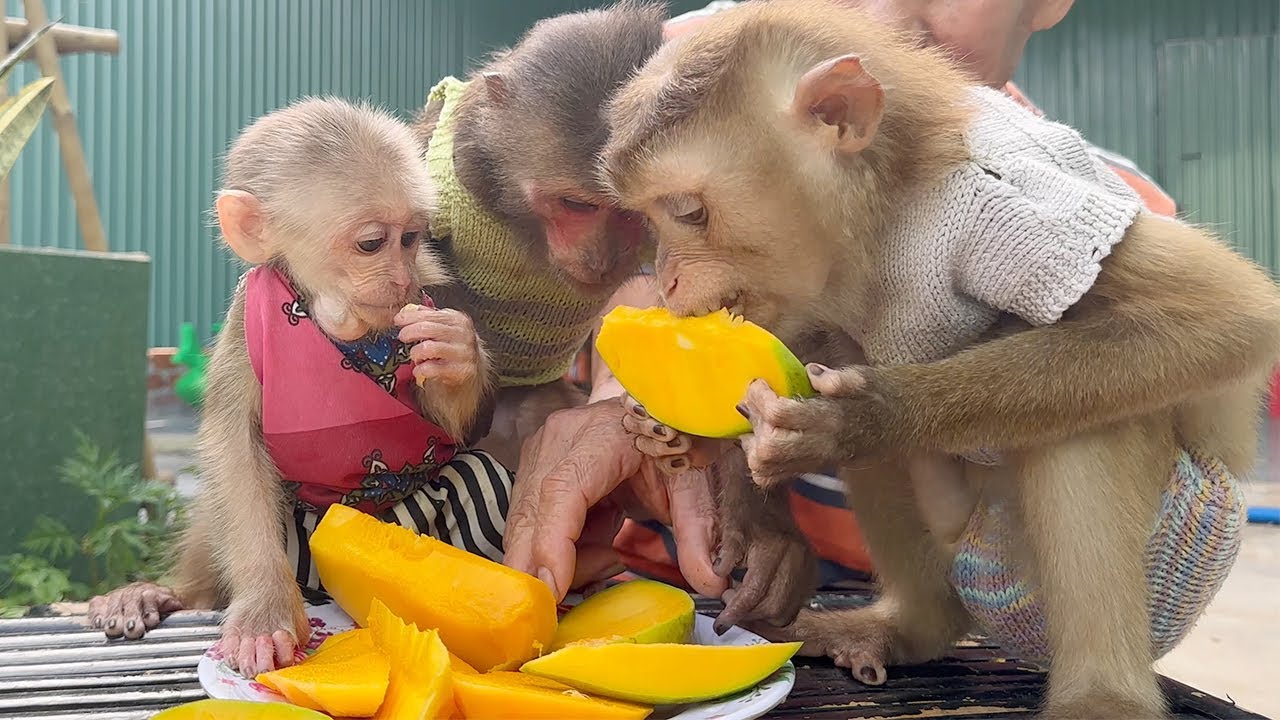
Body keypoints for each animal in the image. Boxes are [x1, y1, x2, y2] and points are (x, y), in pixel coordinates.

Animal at [85, 97, 510, 678]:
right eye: (372, 243)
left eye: (411, 238)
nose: (402, 278)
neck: (340, 318)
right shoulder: (245, 319)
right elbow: (235, 446)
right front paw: (265, 612)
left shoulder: (427, 301)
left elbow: (462, 430)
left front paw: (457, 356)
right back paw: (165, 594)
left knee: (478, 476)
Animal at [597, 1, 1280, 717]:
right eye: (649, 223)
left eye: (688, 212)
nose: (667, 279)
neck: (887, 213)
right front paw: (691, 451)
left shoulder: (1009, 209)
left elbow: (1231, 312)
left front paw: (865, 419)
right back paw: (914, 625)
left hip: (1159, 548)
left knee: (1097, 415)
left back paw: (1103, 693)